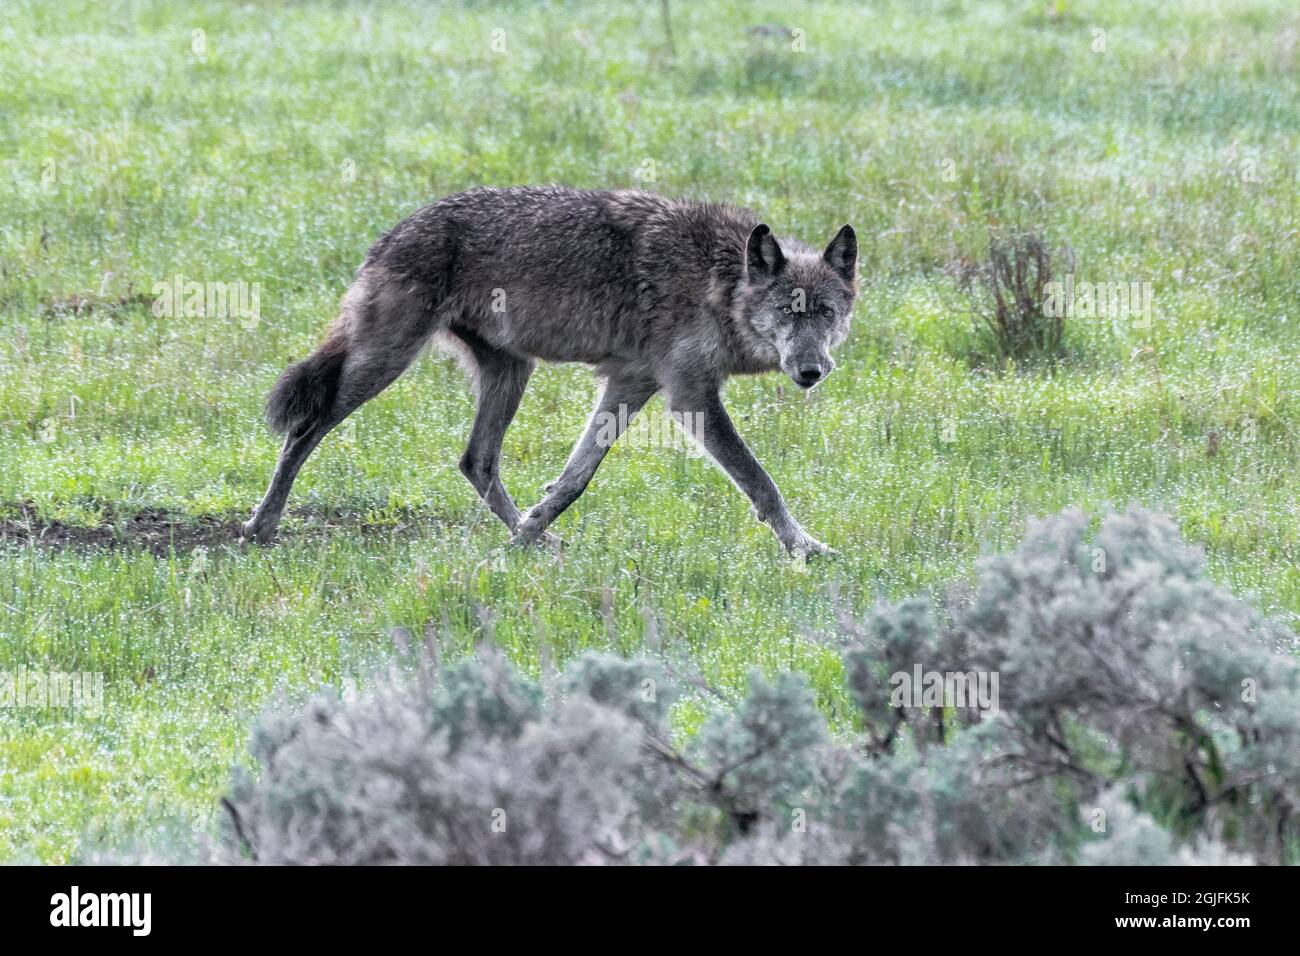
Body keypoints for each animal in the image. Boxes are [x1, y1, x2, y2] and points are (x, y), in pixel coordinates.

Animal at [242, 186, 856, 556]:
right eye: (787, 313)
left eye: (825, 313)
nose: (811, 371)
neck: (720, 282)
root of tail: (390, 234)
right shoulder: (690, 396)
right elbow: (761, 481)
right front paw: (806, 549)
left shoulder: (630, 385)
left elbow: (574, 479)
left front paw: (530, 531)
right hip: (382, 364)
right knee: (302, 430)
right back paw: (259, 527)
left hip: (512, 374)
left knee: (476, 462)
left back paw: (528, 540)